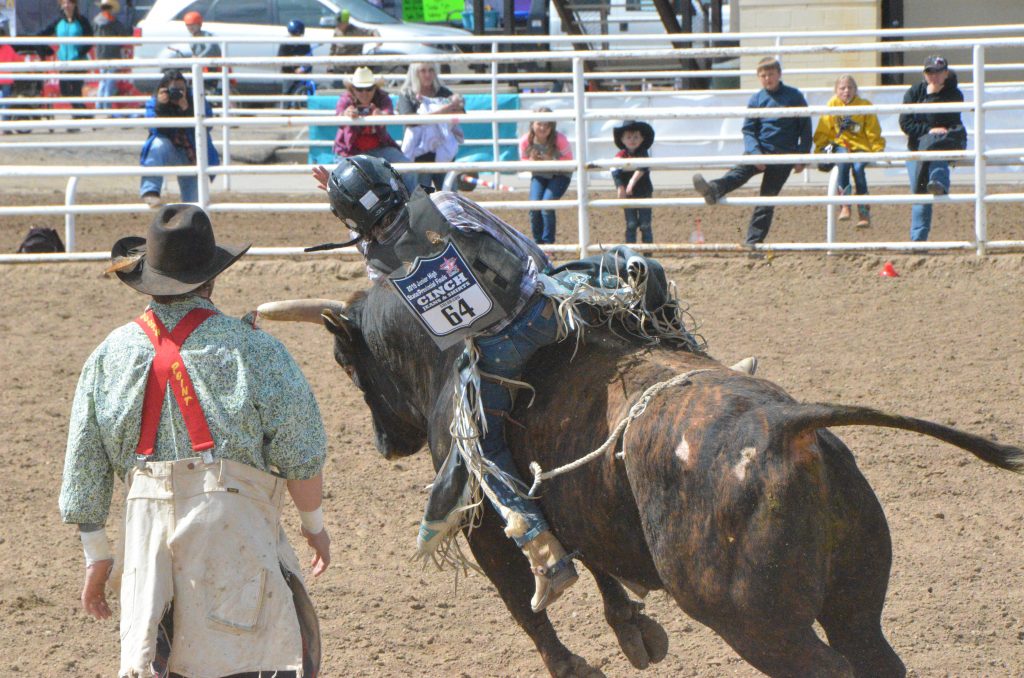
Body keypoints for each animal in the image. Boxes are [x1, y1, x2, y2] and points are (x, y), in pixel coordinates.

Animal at [258, 285, 1023, 678]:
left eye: (345, 361)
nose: (386, 445)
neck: (453, 359)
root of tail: (787, 424)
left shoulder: (485, 524)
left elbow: (525, 598)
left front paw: (574, 663)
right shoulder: (586, 509)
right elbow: (597, 561)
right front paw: (633, 630)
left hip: (760, 625)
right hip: (855, 598)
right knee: (875, 655)